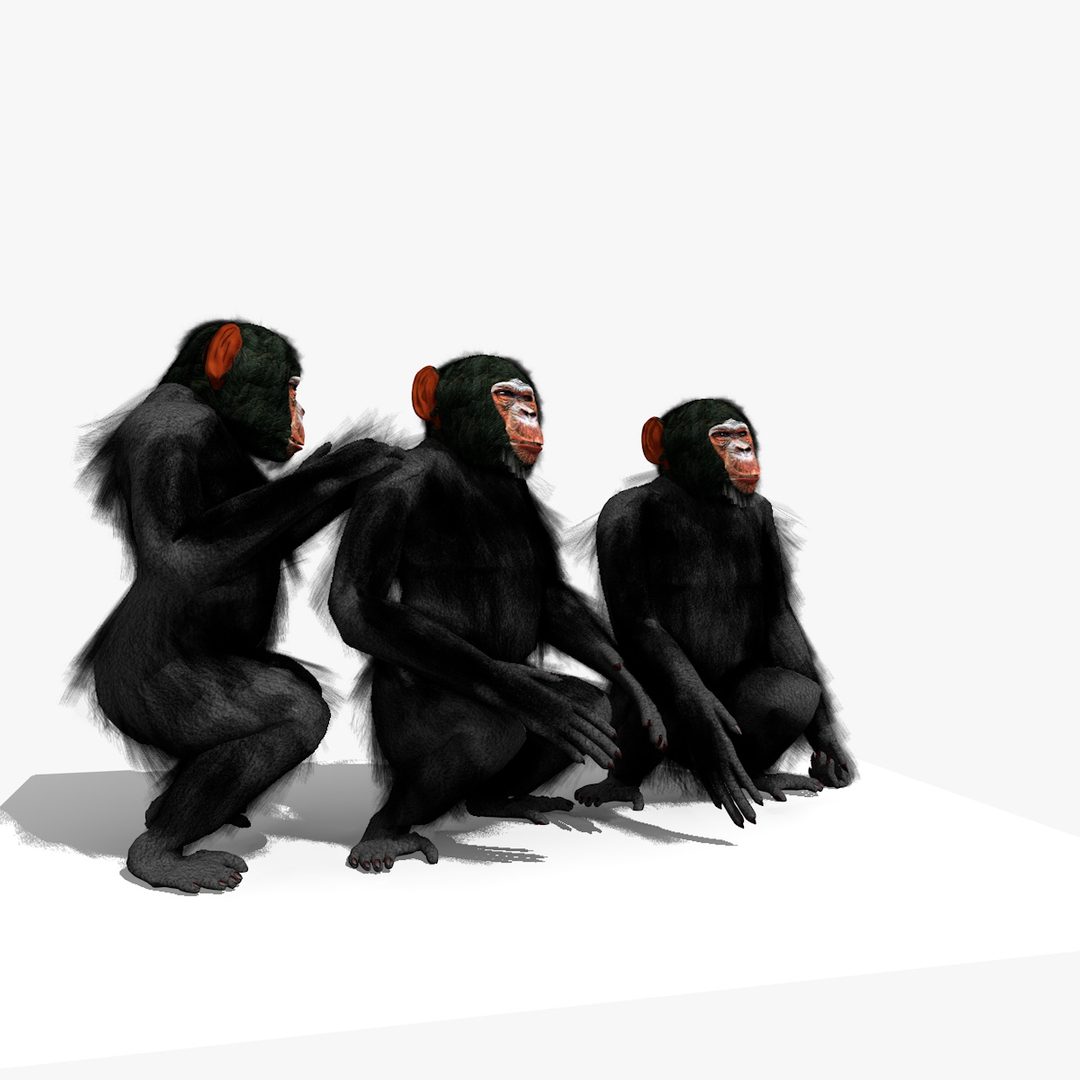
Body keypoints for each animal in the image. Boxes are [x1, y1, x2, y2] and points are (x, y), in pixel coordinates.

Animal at [71, 320, 402, 892]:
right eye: (290, 385)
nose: (302, 408)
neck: (204, 398)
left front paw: (330, 465)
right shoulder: (173, 430)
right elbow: (179, 553)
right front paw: (351, 459)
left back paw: (166, 814)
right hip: (153, 695)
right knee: (293, 714)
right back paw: (159, 855)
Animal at [328, 354, 666, 872]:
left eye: (528, 397)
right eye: (504, 394)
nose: (529, 413)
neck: (469, 464)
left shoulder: (520, 495)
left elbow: (548, 594)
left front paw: (638, 691)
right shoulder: (393, 485)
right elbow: (357, 599)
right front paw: (535, 700)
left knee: (590, 708)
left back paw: (495, 801)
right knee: (485, 735)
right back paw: (385, 834)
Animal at [575, 397, 854, 823]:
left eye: (741, 433)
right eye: (721, 435)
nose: (743, 449)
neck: (698, 494)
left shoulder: (765, 517)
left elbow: (780, 617)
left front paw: (829, 747)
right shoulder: (620, 515)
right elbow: (641, 621)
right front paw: (709, 724)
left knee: (792, 691)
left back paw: (762, 776)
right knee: (653, 688)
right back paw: (618, 783)